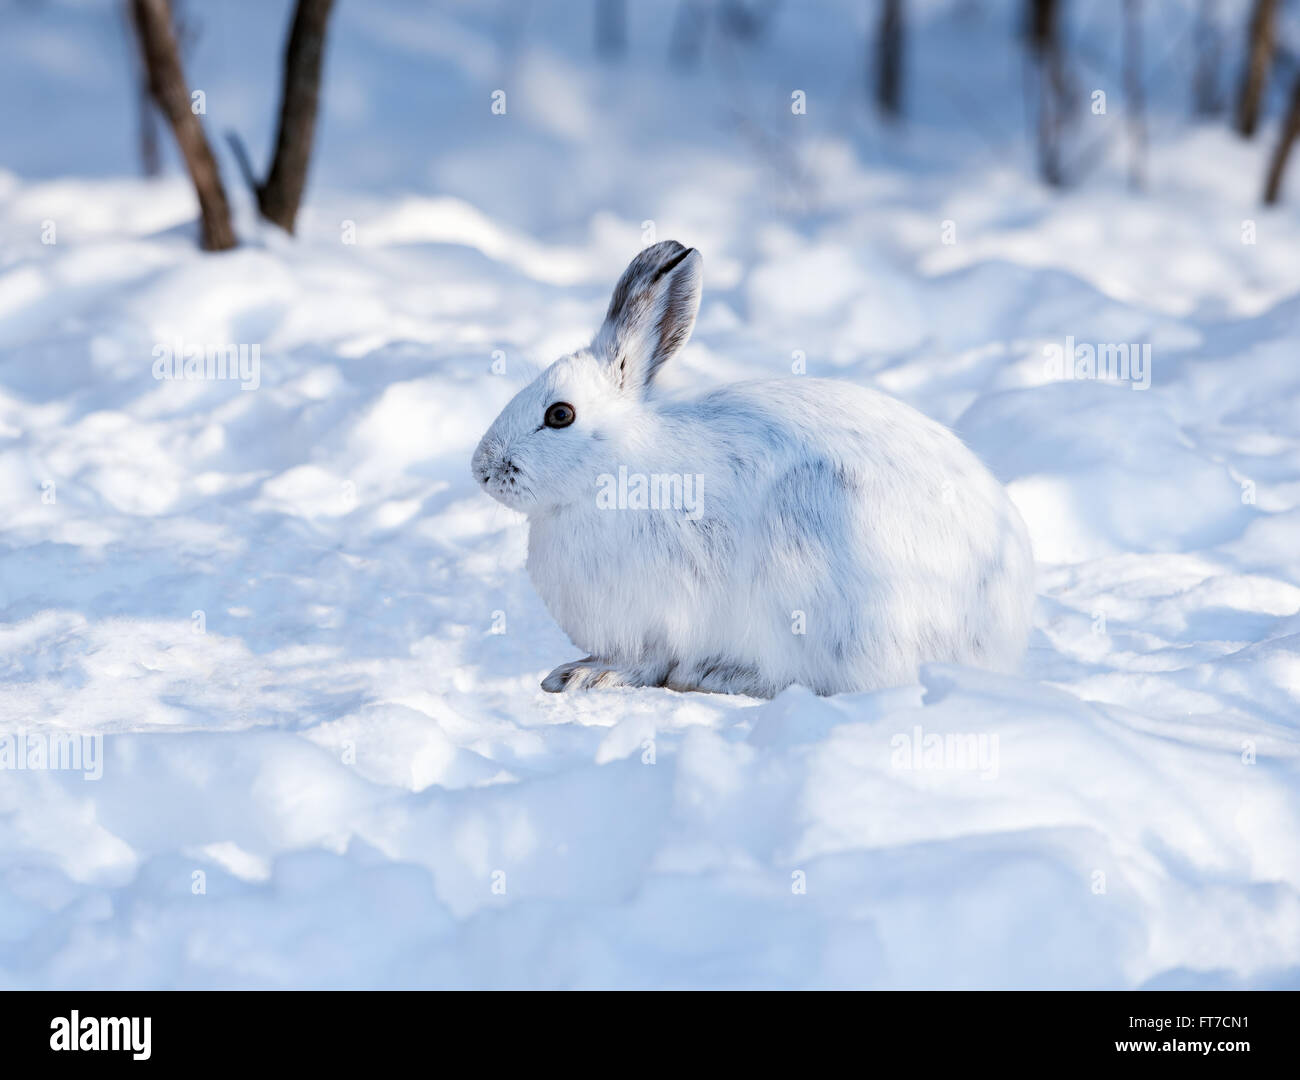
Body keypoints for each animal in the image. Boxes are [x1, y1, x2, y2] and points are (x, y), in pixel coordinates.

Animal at [472, 240, 1035, 697]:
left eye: (559, 415)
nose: (481, 469)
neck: (611, 470)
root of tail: (994, 640)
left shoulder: (659, 614)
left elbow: (644, 660)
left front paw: (588, 675)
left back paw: (714, 675)